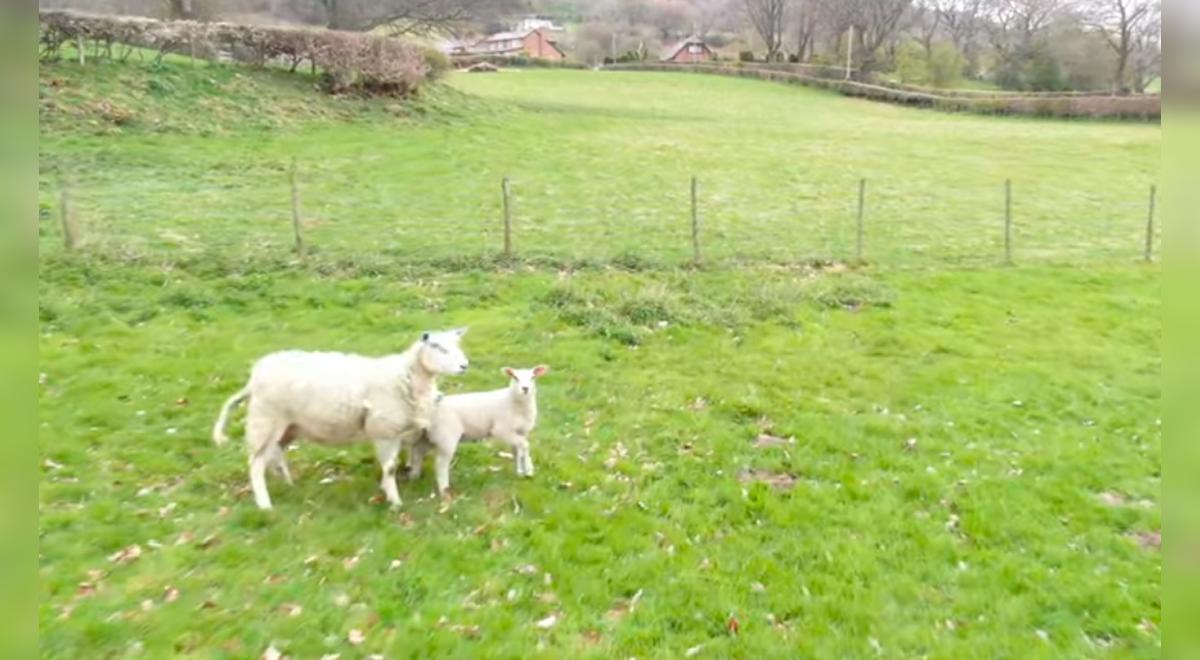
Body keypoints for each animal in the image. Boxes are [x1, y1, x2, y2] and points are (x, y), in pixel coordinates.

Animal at [211, 328, 470, 510]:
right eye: (437, 347)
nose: (465, 365)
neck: (407, 375)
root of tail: (254, 377)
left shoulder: (394, 431)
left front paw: (388, 491)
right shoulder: (383, 429)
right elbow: (389, 468)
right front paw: (394, 501)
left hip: (288, 426)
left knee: (276, 454)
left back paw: (288, 483)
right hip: (264, 420)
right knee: (255, 463)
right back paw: (265, 505)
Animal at [409, 365, 548, 496]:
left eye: (533, 377)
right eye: (515, 377)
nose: (525, 389)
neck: (512, 401)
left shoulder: (520, 431)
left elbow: (518, 451)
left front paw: (520, 471)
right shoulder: (502, 429)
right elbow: (525, 446)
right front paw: (527, 470)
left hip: (428, 435)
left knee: (417, 452)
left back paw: (414, 476)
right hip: (446, 436)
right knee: (440, 464)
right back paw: (444, 490)